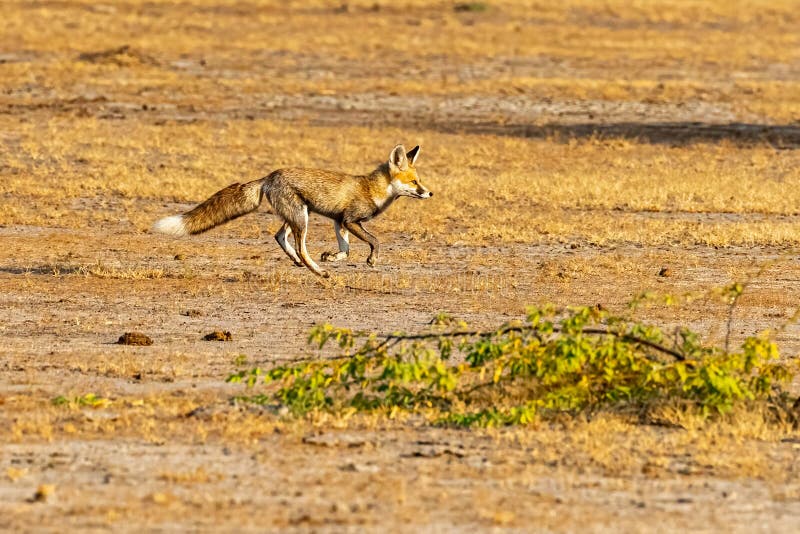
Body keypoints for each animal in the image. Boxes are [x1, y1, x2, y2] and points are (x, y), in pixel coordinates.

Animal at [152, 144, 432, 277]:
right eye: (414, 182)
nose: (430, 194)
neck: (373, 189)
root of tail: (269, 176)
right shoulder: (351, 220)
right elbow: (374, 241)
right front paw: (371, 260)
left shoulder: (338, 221)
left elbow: (345, 249)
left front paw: (332, 257)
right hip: (301, 218)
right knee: (299, 246)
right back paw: (318, 272)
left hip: (297, 214)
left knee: (279, 237)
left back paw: (299, 262)